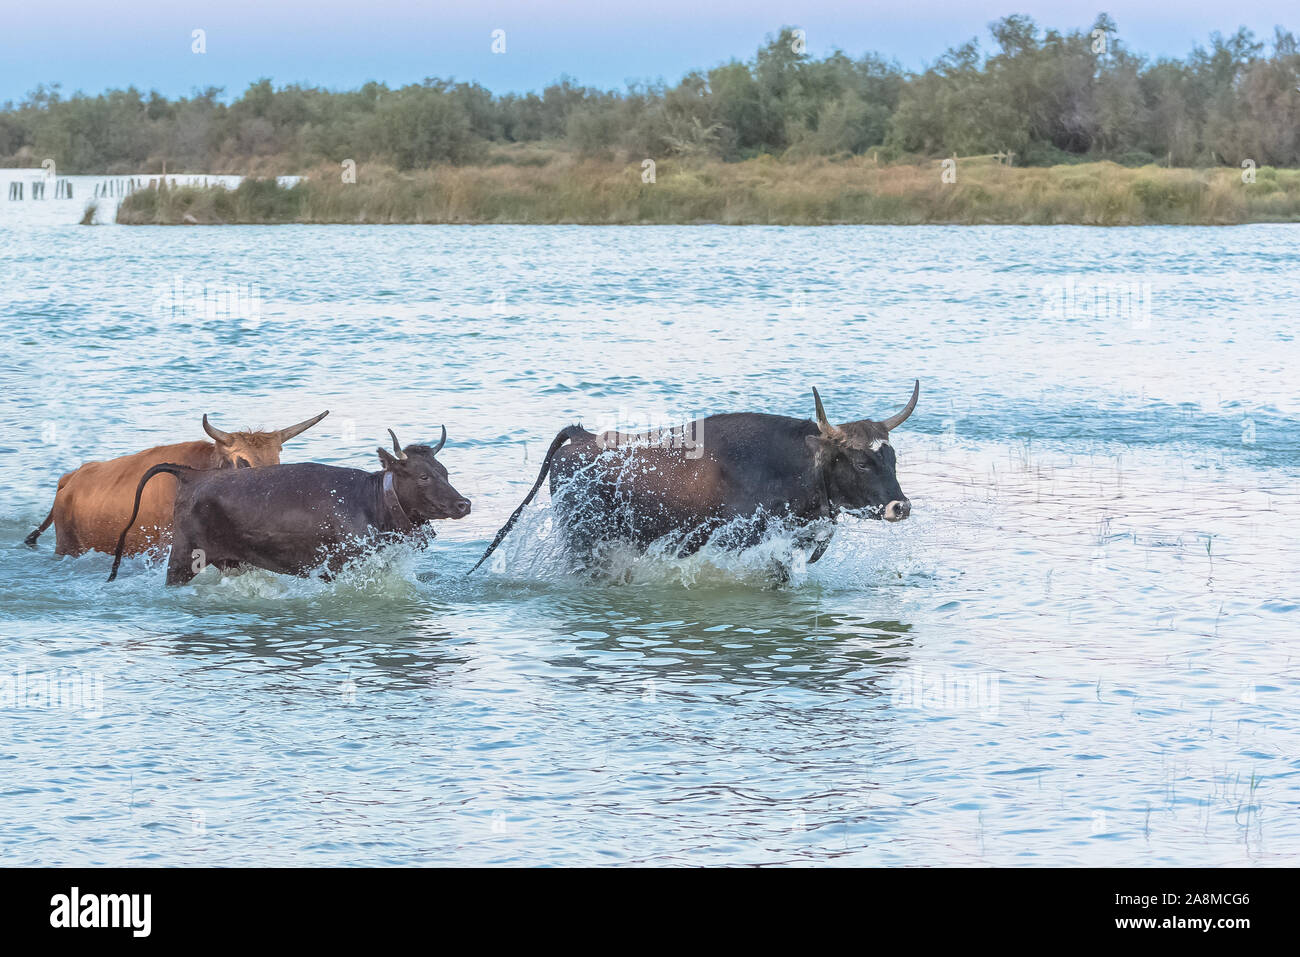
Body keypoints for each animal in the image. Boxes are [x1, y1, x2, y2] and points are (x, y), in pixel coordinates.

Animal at [107, 427, 471, 586]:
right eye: (423, 476)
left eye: (445, 472)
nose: (463, 503)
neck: (372, 504)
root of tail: (192, 475)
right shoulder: (337, 566)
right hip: (183, 558)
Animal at [470, 381, 920, 577]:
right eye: (861, 462)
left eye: (892, 457)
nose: (901, 506)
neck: (783, 464)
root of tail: (582, 435)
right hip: (583, 541)